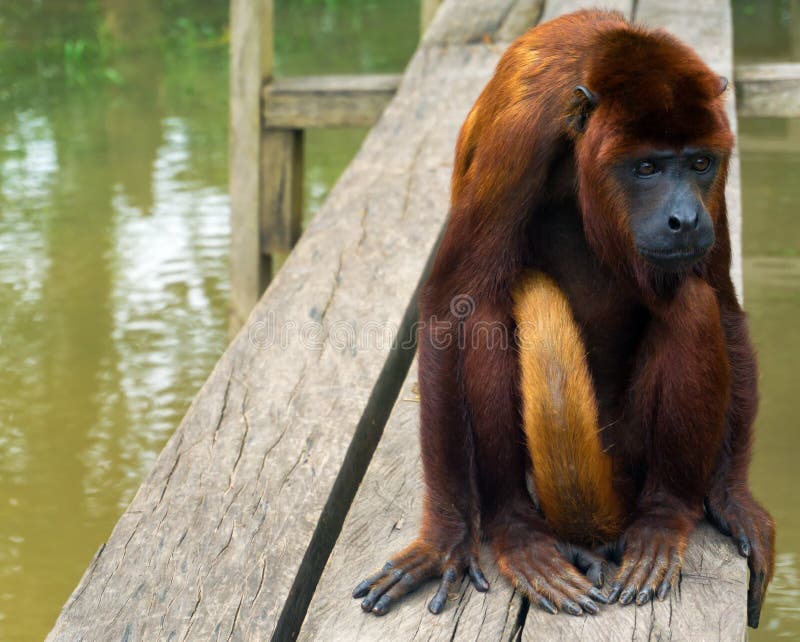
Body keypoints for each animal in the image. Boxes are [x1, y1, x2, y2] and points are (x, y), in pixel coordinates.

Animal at [352, 9, 774, 627]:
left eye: (700, 163)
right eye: (646, 168)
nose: (684, 218)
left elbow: (719, 298)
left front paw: (731, 496)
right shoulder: (520, 135)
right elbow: (452, 309)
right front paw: (444, 540)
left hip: (626, 456)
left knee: (690, 300)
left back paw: (664, 517)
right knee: (487, 317)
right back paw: (518, 532)